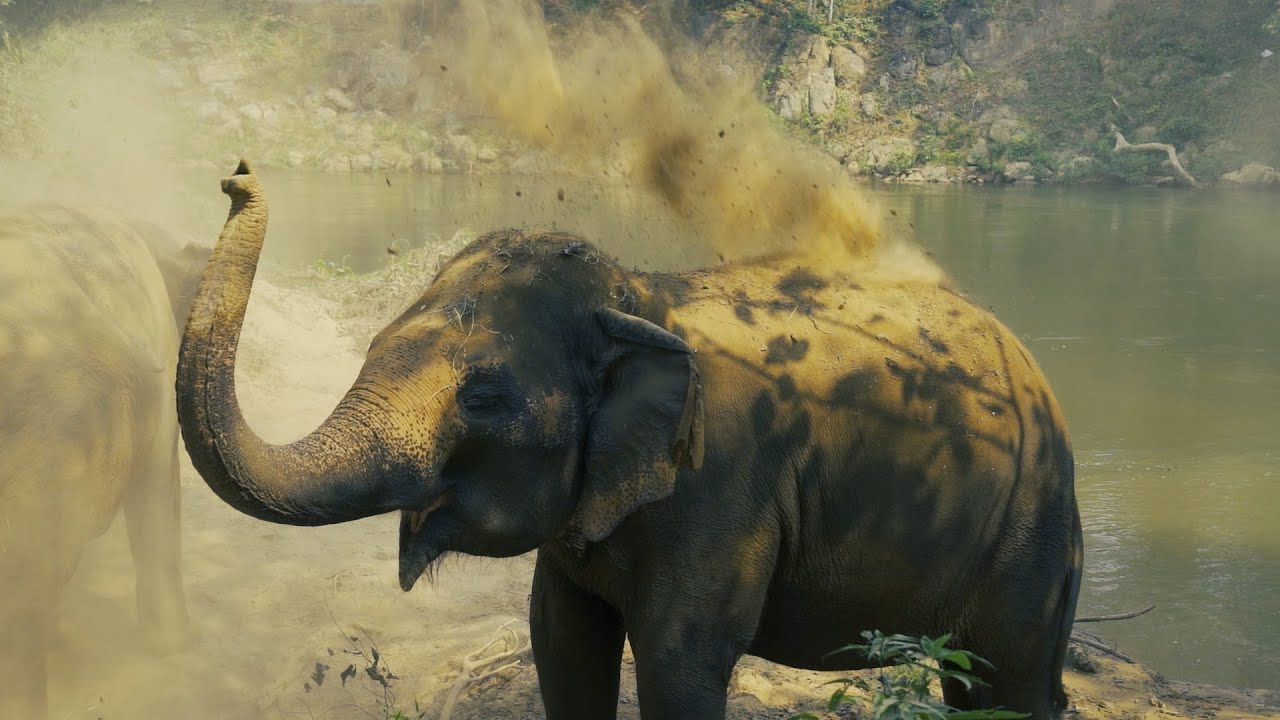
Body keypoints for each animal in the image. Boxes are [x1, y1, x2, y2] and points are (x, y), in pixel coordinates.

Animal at [177, 161, 1083, 720]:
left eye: (483, 397)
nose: (236, 176)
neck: (639, 296)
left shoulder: (720, 489)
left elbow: (679, 661)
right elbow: (562, 642)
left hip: (1028, 530)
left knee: (1013, 679)